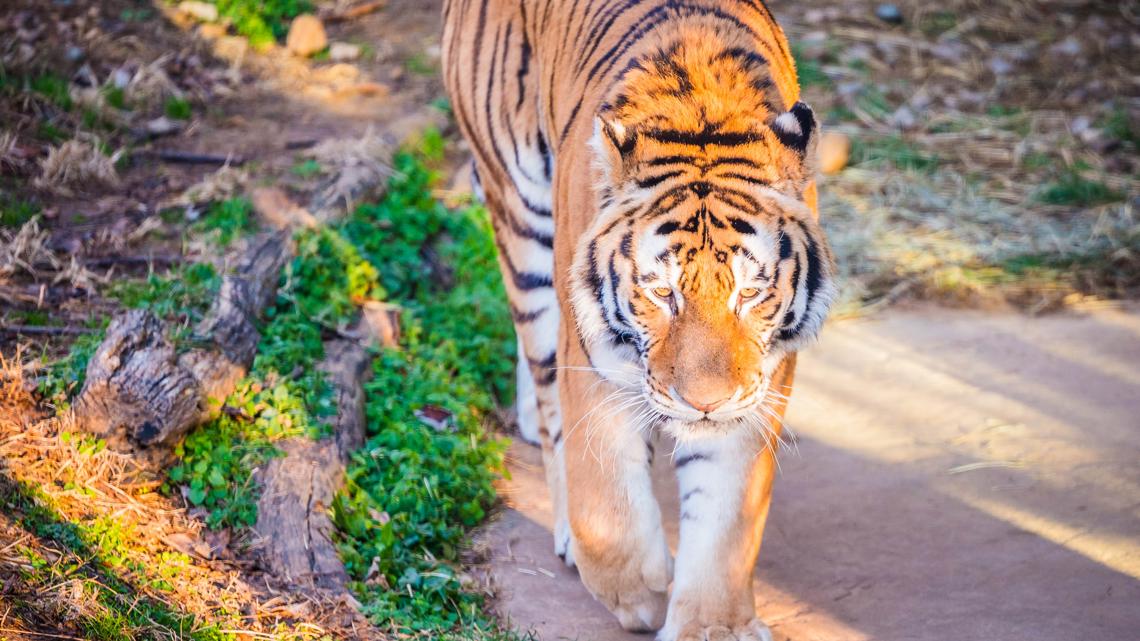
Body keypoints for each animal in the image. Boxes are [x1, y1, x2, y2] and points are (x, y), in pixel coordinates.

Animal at [442, 1, 836, 639]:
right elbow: (604, 512)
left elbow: (726, 523)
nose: (705, 403)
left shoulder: (762, 385)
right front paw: (642, 594)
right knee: (545, 383)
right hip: (520, 209)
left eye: (751, 293)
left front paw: (712, 626)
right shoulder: (592, 363)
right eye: (661, 291)